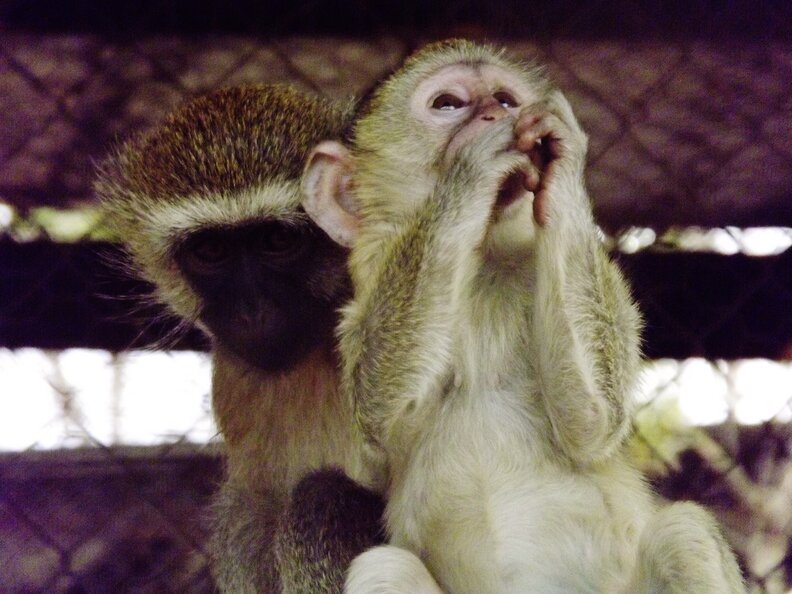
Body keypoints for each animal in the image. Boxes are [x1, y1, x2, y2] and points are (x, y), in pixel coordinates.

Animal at [300, 40, 746, 594]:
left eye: (505, 97)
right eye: (448, 104)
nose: (495, 112)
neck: (486, 260)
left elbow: (592, 423)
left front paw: (564, 157)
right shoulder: (358, 301)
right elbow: (384, 420)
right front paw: (472, 173)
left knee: (683, 533)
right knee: (385, 567)